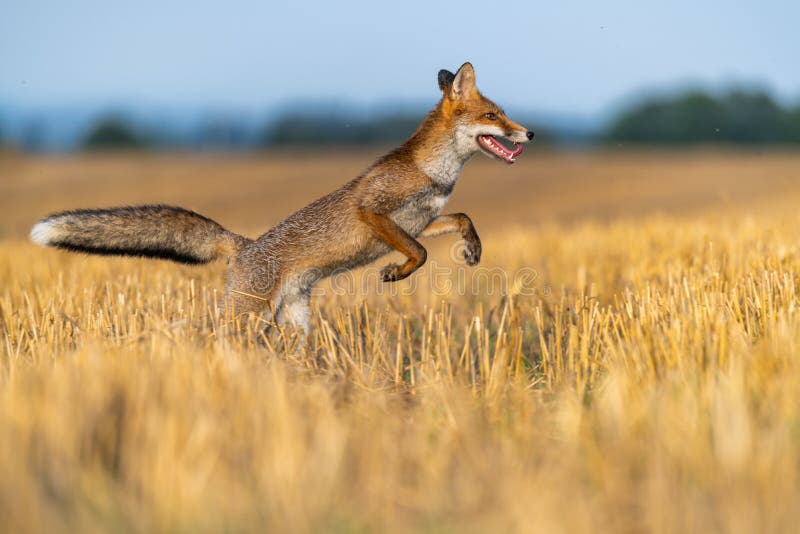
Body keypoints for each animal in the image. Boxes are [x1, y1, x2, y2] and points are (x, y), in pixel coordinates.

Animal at [30, 62, 534, 335]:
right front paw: (395, 272)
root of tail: (243, 245)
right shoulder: (374, 210)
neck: (435, 172)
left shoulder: (421, 219)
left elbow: (462, 218)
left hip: (295, 320)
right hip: (246, 318)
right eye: (494, 115)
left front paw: (472, 249)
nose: (529, 133)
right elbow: (420, 254)